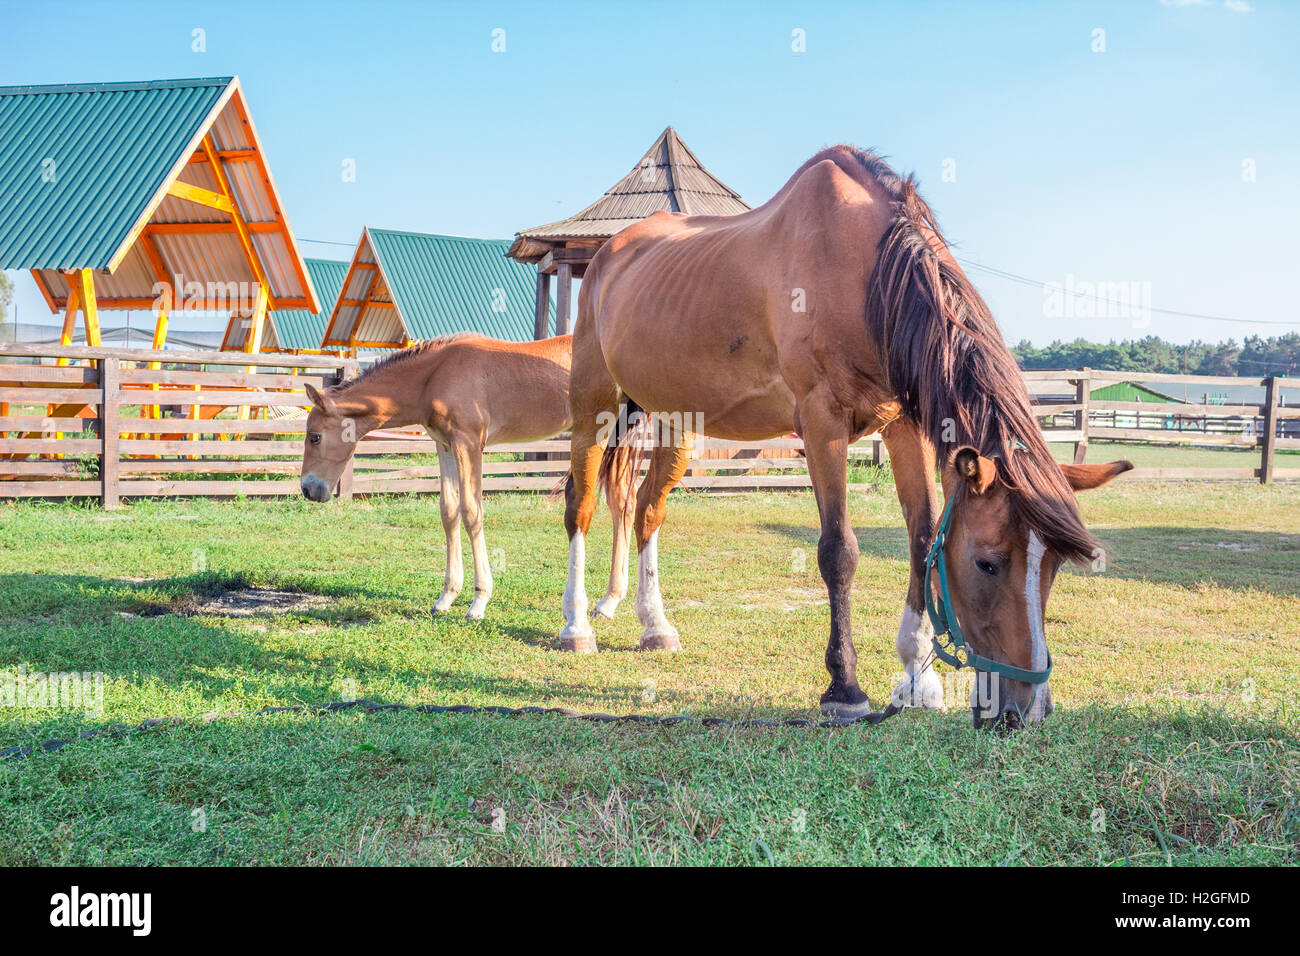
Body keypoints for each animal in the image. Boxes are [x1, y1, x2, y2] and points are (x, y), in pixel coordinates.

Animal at [299, 333, 635, 621]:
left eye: (315, 437)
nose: (308, 490)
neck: (434, 376)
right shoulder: (445, 445)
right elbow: (449, 512)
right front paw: (446, 597)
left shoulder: (469, 443)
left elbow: (472, 512)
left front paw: (478, 602)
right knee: (623, 505)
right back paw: (610, 601)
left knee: (622, 504)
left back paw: (609, 602)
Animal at [559, 146, 1132, 728]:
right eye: (987, 562)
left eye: (1054, 565)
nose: (1026, 711)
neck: (869, 274)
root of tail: (608, 254)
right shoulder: (822, 422)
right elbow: (838, 550)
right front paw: (844, 686)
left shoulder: (906, 427)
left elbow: (922, 537)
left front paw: (917, 678)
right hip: (593, 407)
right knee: (581, 505)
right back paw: (577, 626)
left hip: (674, 421)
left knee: (647, 509)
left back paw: (654, 625)